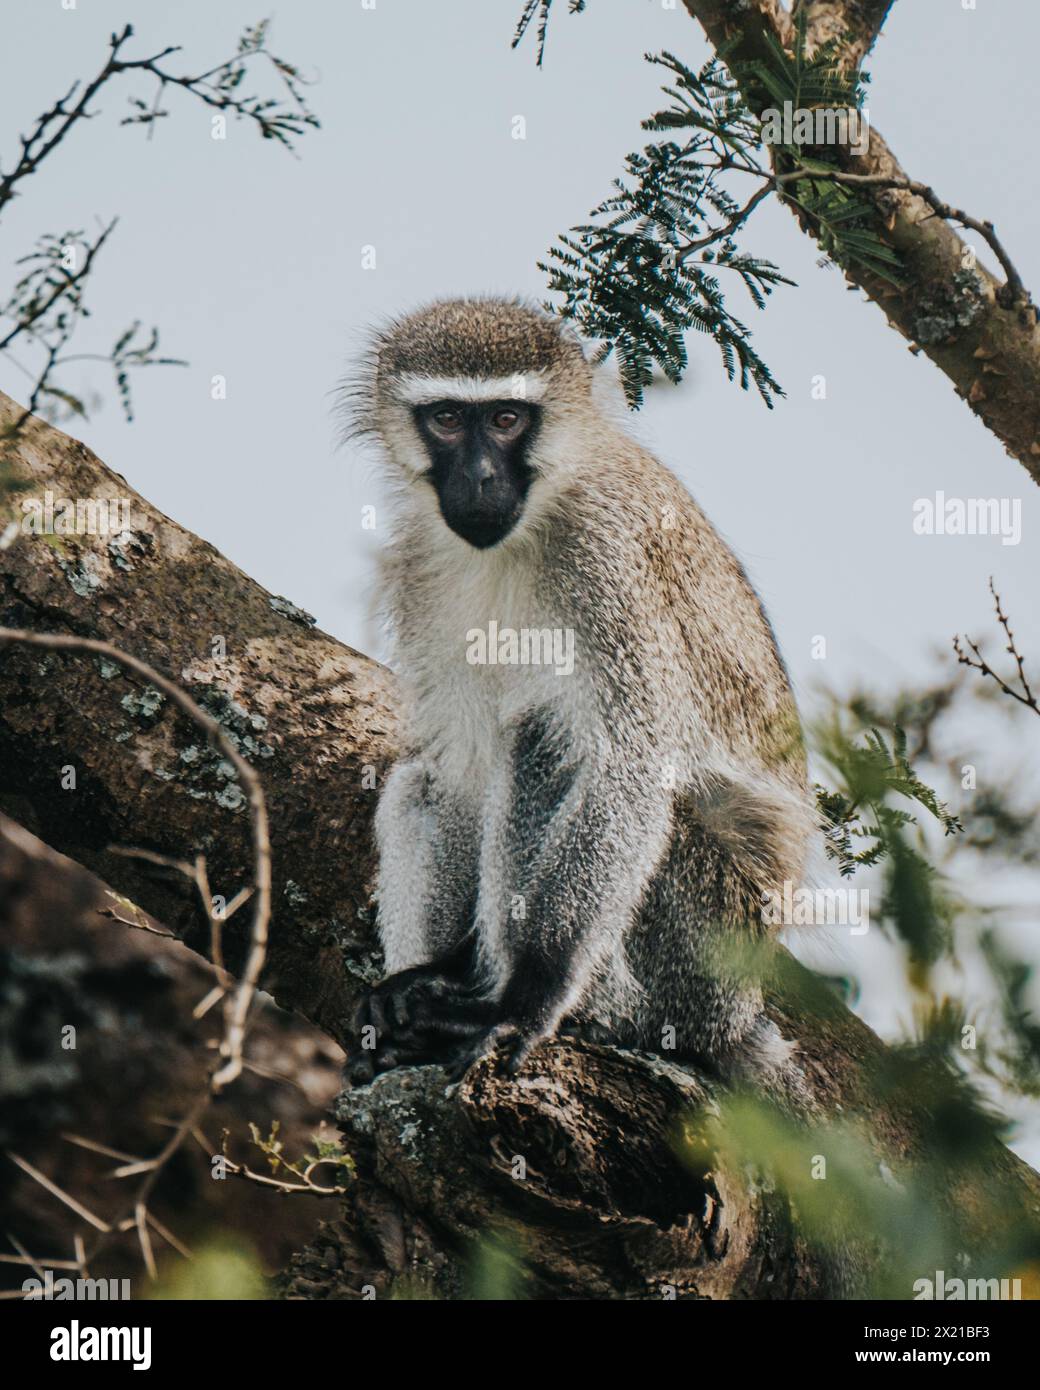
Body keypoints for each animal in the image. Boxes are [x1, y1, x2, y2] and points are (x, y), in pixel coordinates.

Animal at [345, 297, 818, 1090]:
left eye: (508, 419)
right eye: (448, 419)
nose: (479, 478)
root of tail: (739, 1016)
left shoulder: (608, 554)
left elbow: (628, 766)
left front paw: (528, 998)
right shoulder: (420, 567)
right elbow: (459, 771)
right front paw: (437, 974)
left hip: (709, 941)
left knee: (549, 738)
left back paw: (579, 1007)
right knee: (427, 777)